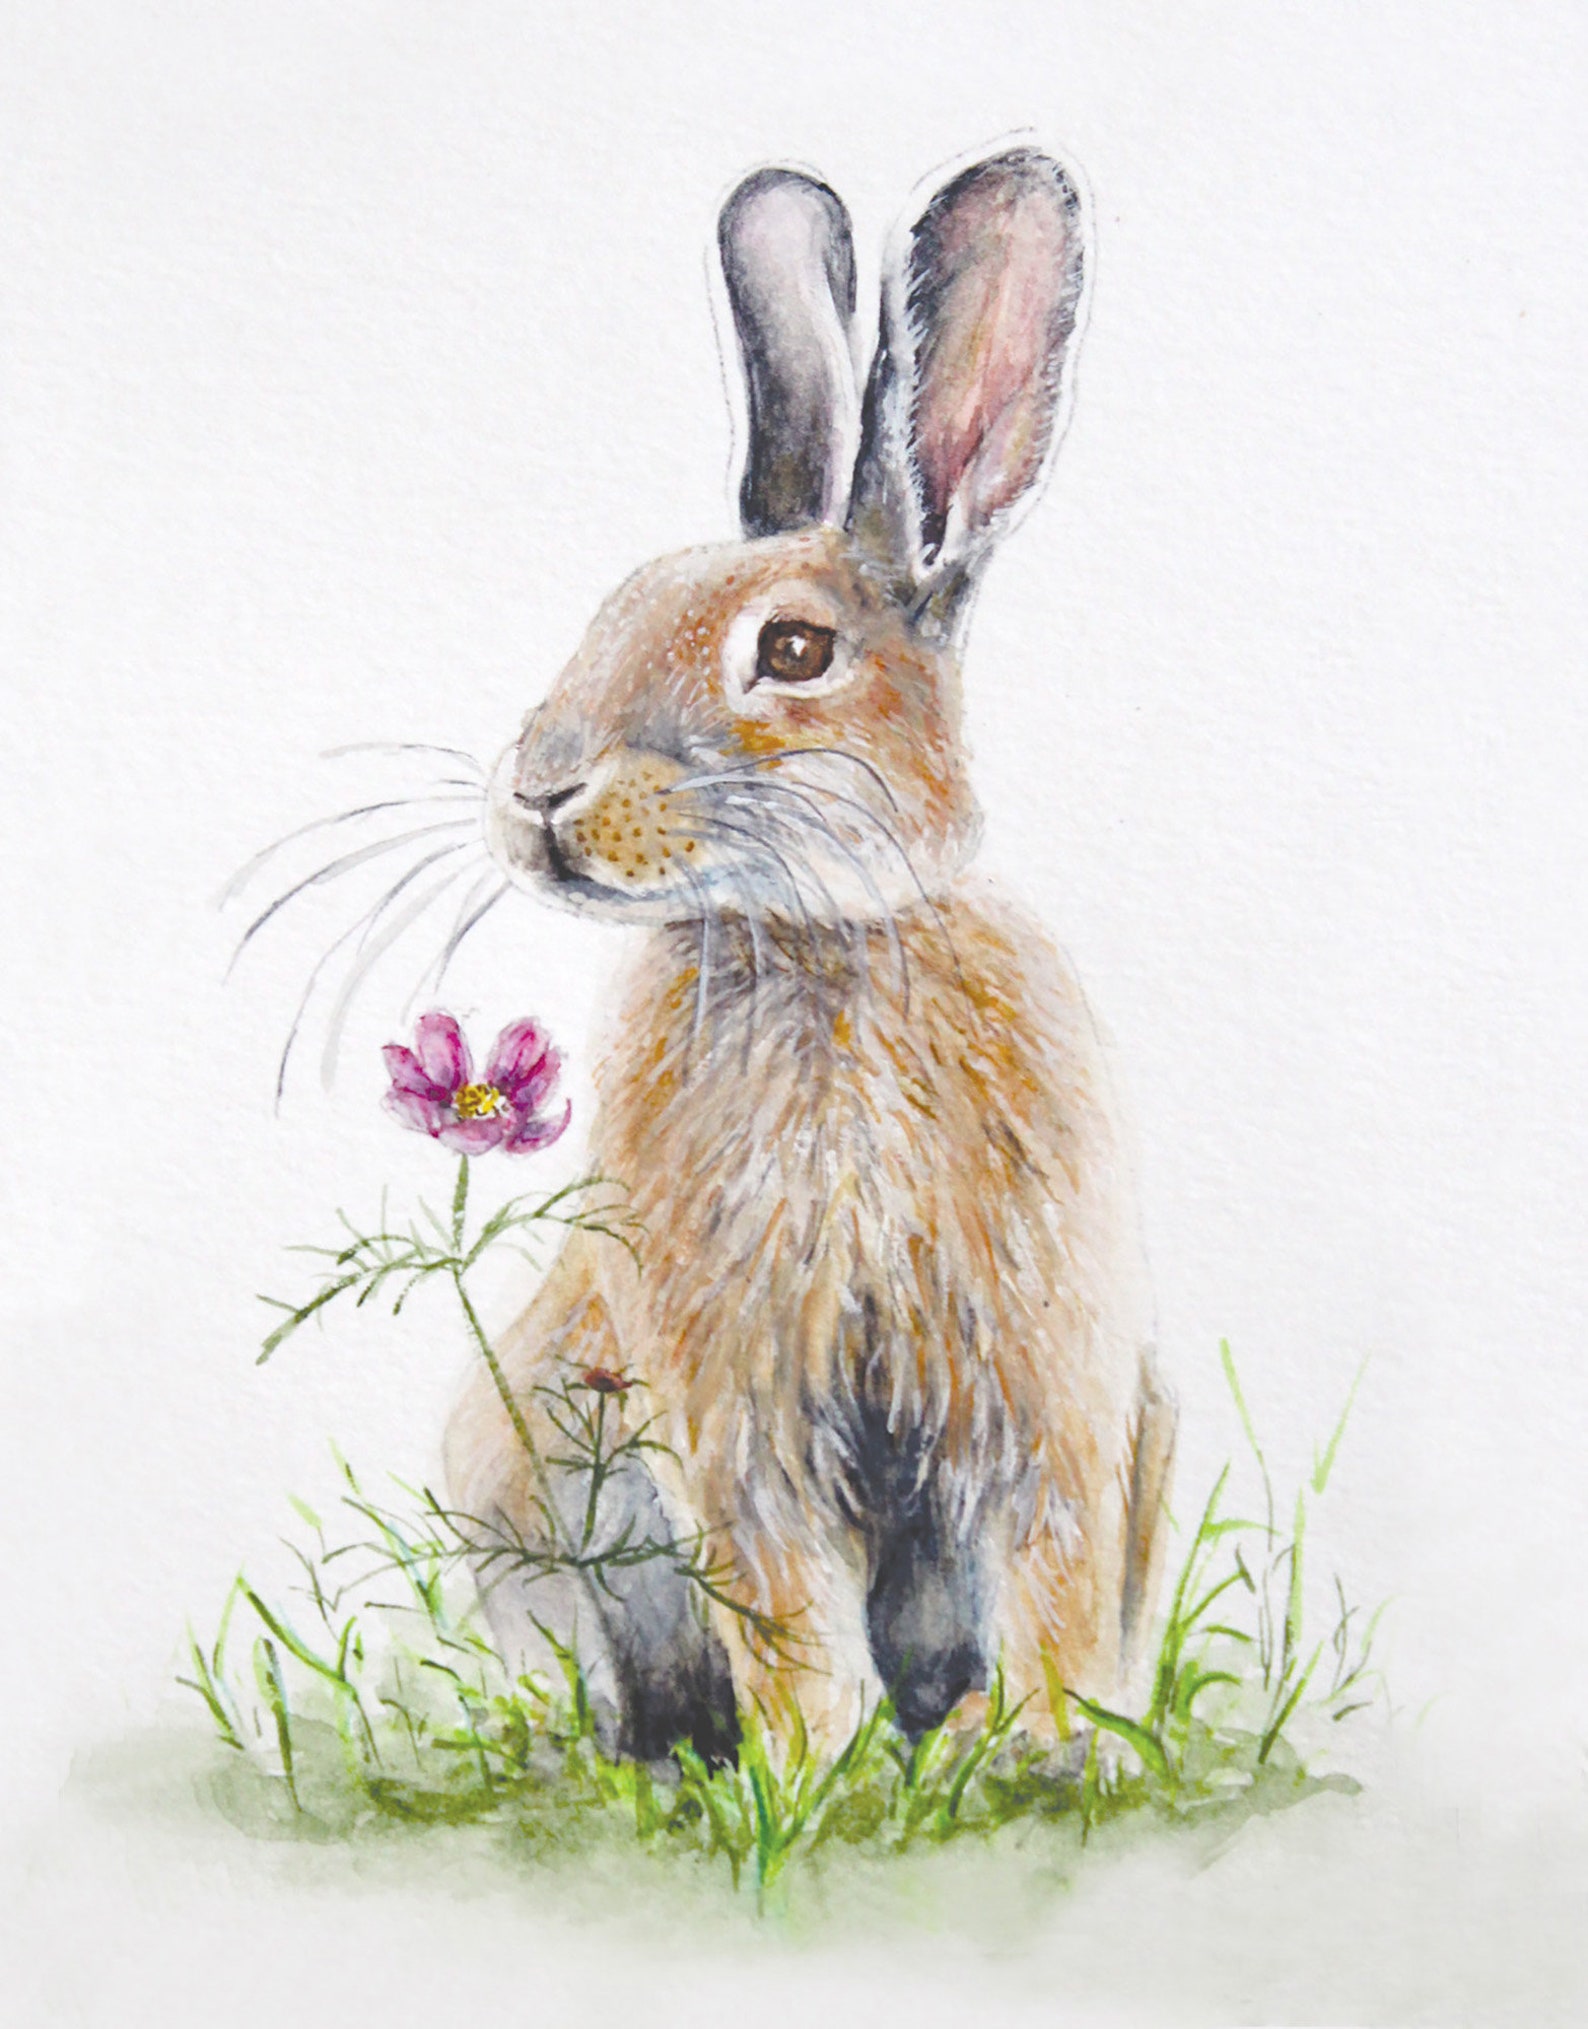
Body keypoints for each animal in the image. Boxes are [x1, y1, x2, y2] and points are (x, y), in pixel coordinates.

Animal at [444, 147, 1177, 1764]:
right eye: (615, 606)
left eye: (792, 653)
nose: (543, 792)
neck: (819, 947)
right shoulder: (735, 1403)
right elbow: (780, 1595)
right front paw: (808, 1766)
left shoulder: (1043, 1378)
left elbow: (1052, 1565)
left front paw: (1050, 1746)